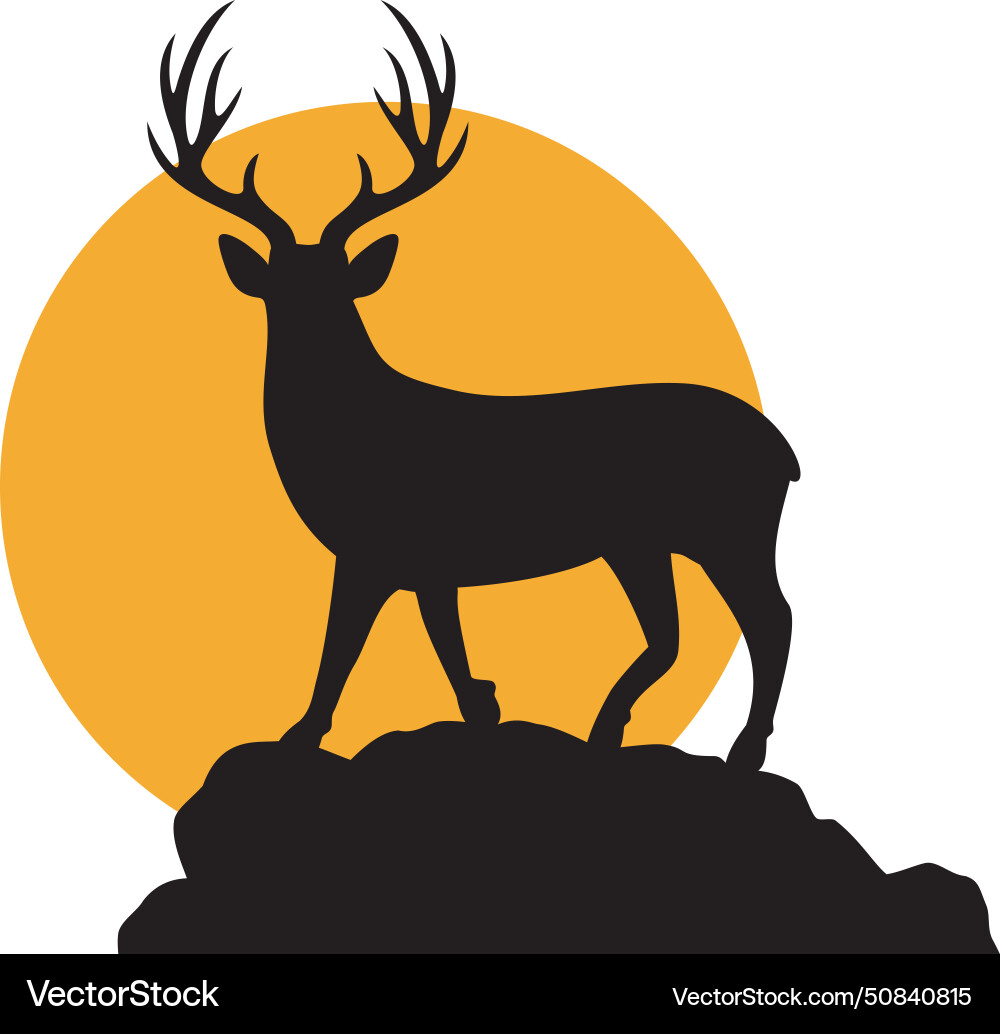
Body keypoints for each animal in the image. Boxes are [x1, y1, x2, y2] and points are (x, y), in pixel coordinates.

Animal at [149, 1, 798, 771]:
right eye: (279, 294)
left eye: (338, 292)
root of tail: (787, 457)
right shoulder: (429, 563)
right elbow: (445, 643)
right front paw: (485, 705)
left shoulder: (374, 546)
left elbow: (341, 647)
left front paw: (299, 735)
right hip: (644, 540)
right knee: (676, 633)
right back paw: (608, 731)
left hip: (726, 527)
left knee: (771, 616)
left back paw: (739, 750)